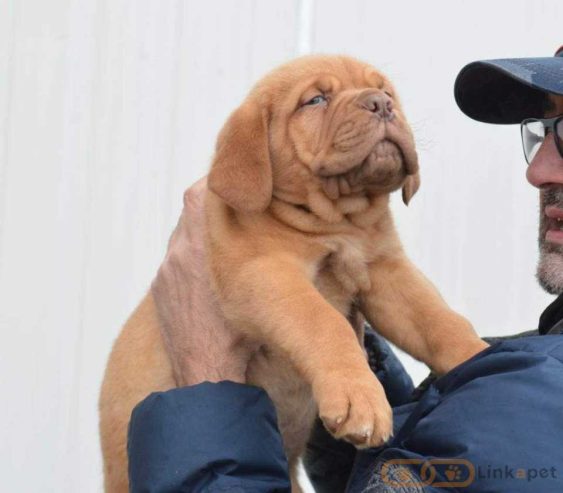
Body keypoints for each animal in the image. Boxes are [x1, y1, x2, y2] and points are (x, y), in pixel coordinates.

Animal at [101, 55, 490, 490]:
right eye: (316, 100)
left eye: (385, 91)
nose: (380, 104)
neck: (339, 224)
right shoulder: (266, 273)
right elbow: (324, 324)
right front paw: (360, 395)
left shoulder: (386, 271)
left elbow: (438, 319)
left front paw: (479, 357)